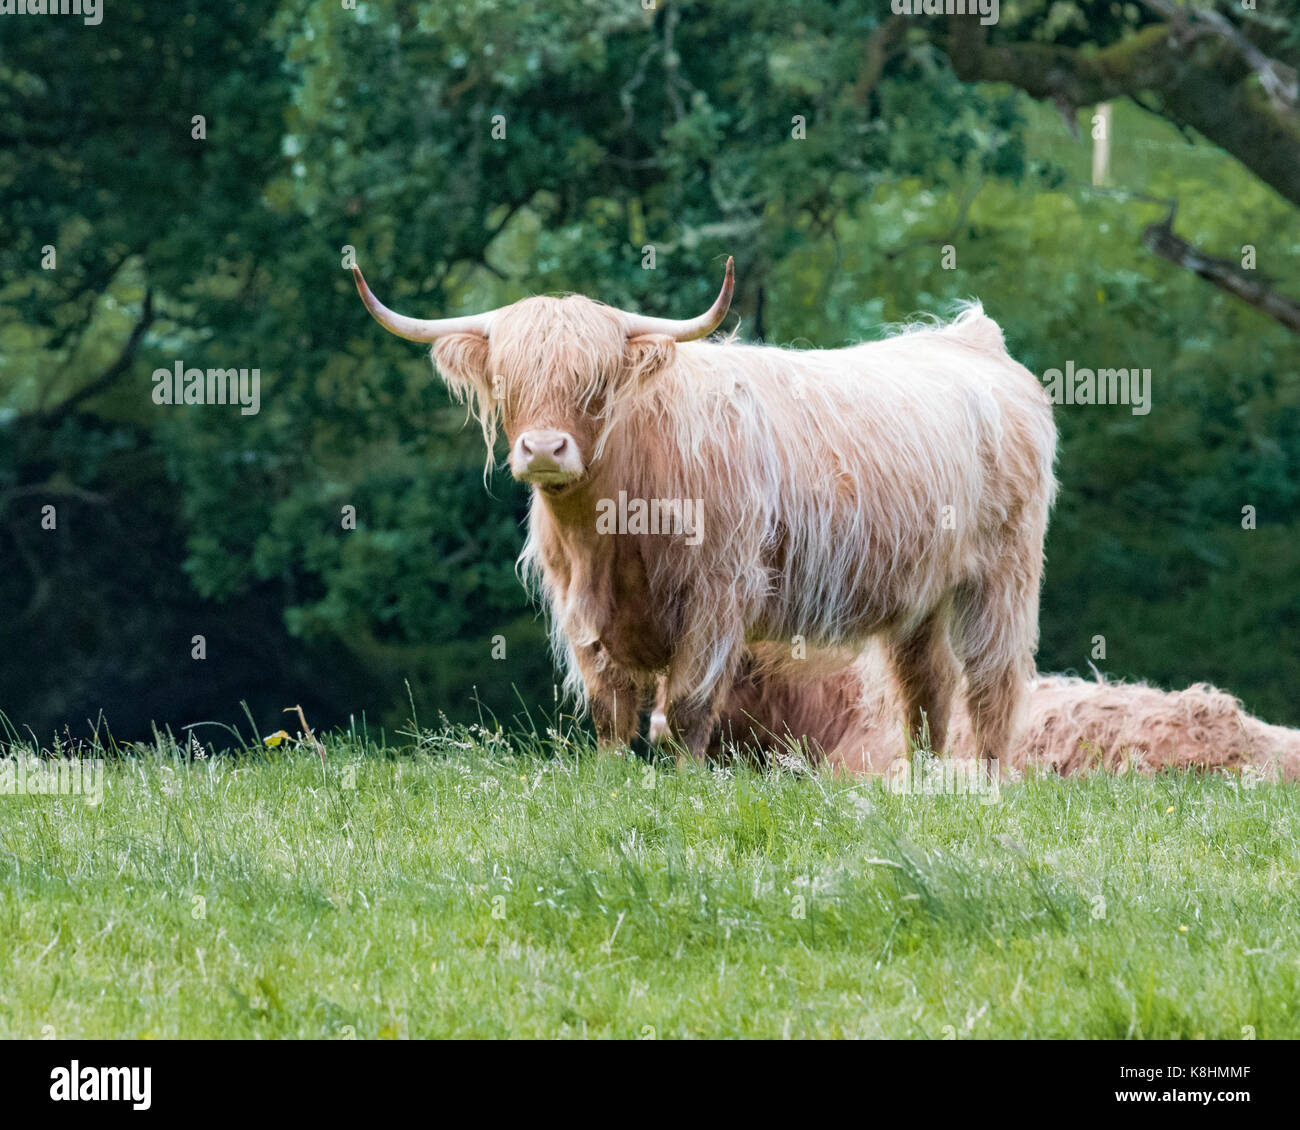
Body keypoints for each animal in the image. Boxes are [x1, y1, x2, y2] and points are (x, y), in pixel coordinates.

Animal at [354, 259, 1056, 765]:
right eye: (508, 381)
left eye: (597, 385)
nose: (545, 449)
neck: (610, 533)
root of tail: (970, 339)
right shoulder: (582, 610)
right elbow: (613, 713)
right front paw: (609, 781)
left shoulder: (716, 597)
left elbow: (685, 712)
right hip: (922, 598)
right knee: (927, 694)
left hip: (1003, 576)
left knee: (991, 690)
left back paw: (986, 788)